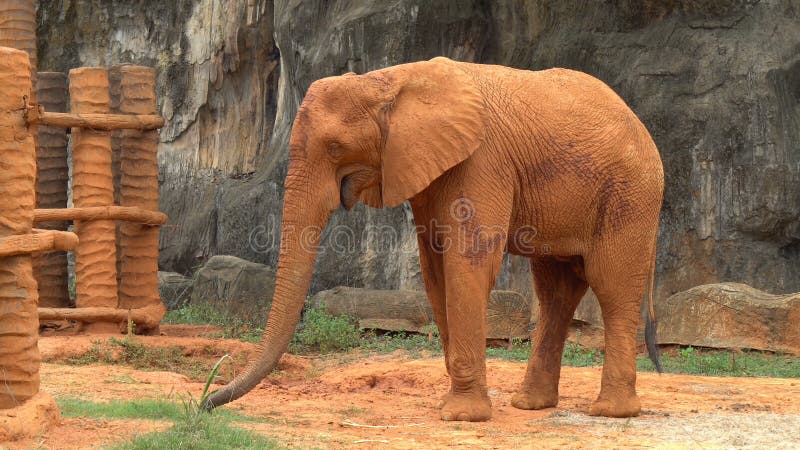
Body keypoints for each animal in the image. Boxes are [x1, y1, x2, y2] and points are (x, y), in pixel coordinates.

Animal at [204, 57, 664, 422]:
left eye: (335, 147)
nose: (205, 402)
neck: (388, 79)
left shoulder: (482, 160)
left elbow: (468, 261)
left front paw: (461, 416)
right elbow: (435, 269)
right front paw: (454, 405)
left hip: (630, 194)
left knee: (612, 286)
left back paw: (611, 411)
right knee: (556, 291)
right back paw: (530, 405)